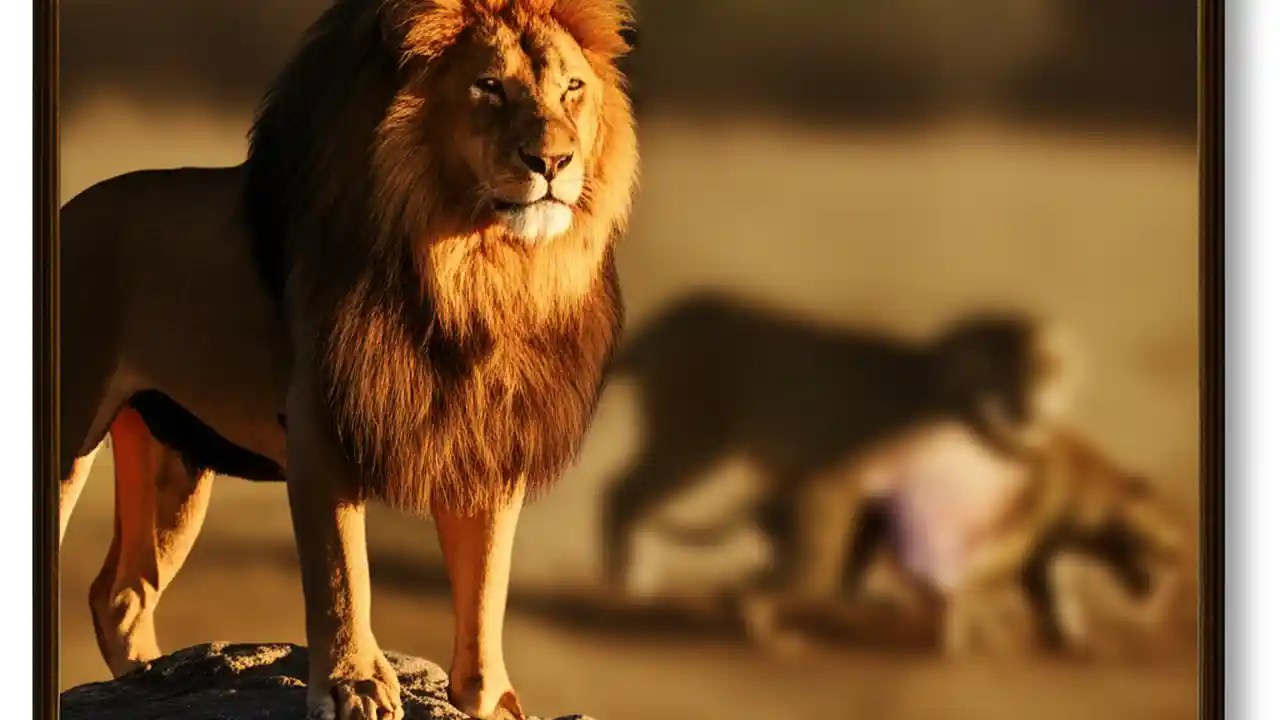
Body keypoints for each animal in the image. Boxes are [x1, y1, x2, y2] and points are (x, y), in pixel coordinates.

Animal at [58, 2, 638, 719]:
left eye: (571, 89)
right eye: (489, 87)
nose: (553, 159)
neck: (479, 271)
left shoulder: (488, 442)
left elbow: (487, 583)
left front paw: (490, 698)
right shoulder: (320, 422)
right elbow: (343, 571)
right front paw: (354, 683)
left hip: (175, 471)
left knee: (120, 595)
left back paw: (150, 679)